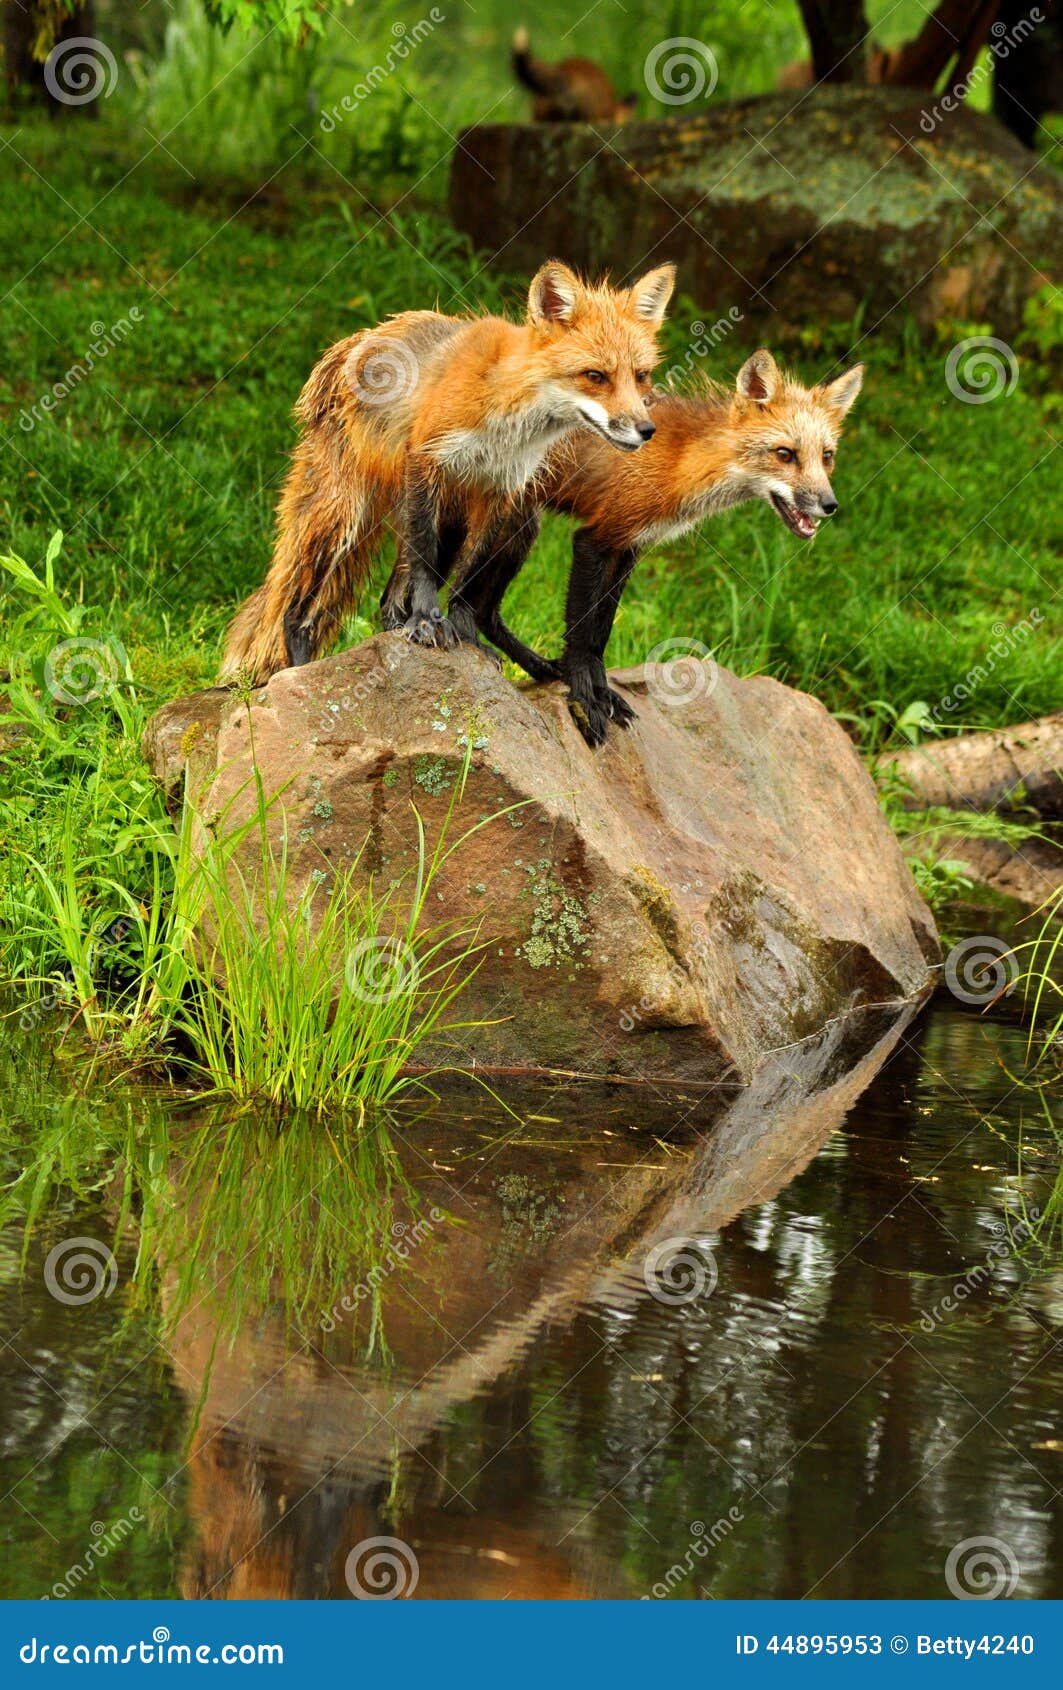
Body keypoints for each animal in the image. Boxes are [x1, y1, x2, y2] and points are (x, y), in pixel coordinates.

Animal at [220, 260, 676, 683]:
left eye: (640, 376)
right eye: (595, 376)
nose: (646, 429)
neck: (508, 417)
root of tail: (349, 345)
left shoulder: (500, 490)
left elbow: (467, 581)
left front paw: (460, 630)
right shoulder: (427, 459)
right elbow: (423, 561)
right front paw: (426, 620)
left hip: (469, 521)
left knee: (387, 600)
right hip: (344, 519)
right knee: (296, 610)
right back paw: (297, 671)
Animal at [383, 349, 864, 746]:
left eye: (827, 456)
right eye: (785, 454)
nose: (830, 505)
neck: (679, 462)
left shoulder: (630, 545)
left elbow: (601, 632)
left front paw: (601, 692)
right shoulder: (595, 539)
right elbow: (582, 633)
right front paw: (584, 698)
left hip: (519, 530)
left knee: (478, 609)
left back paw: (537, 666)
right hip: (504, 522)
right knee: (428, 594)